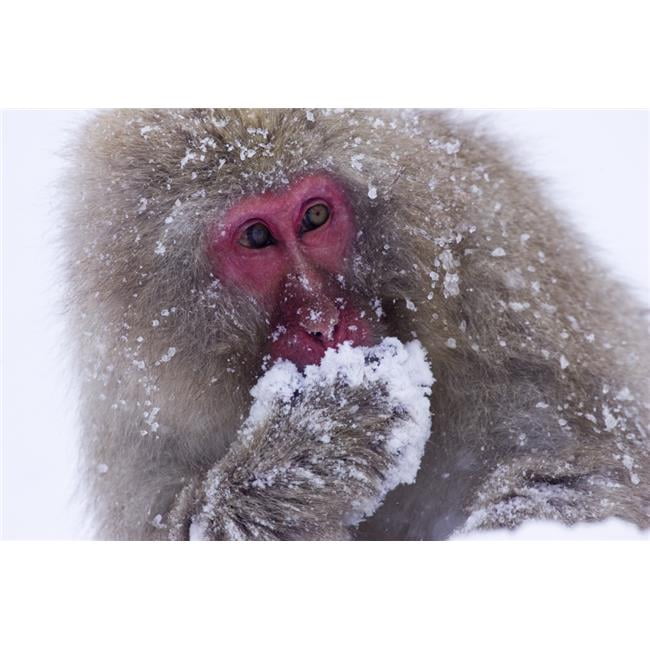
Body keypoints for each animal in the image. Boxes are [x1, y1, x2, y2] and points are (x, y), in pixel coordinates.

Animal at [61, 109, 649, 540]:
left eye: (315, 217)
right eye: (256, 237)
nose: (325, 322)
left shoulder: (502, 292)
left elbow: (583, 479)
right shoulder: (139, 415)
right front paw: (320, 440)